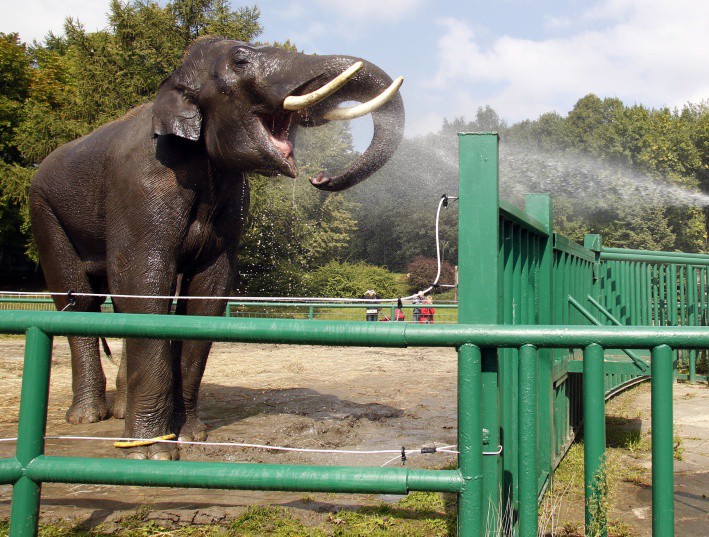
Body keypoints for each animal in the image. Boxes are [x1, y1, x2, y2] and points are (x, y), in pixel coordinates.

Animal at [29, 37, 404, 459]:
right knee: (78, 298)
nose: (319, 178)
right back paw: (88, 418)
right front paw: (151, 452)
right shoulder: (140, 183)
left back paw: (119, 413)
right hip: (43, 210)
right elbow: (143, 279)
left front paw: (191, 436)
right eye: (241, 61)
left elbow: (207, 291)